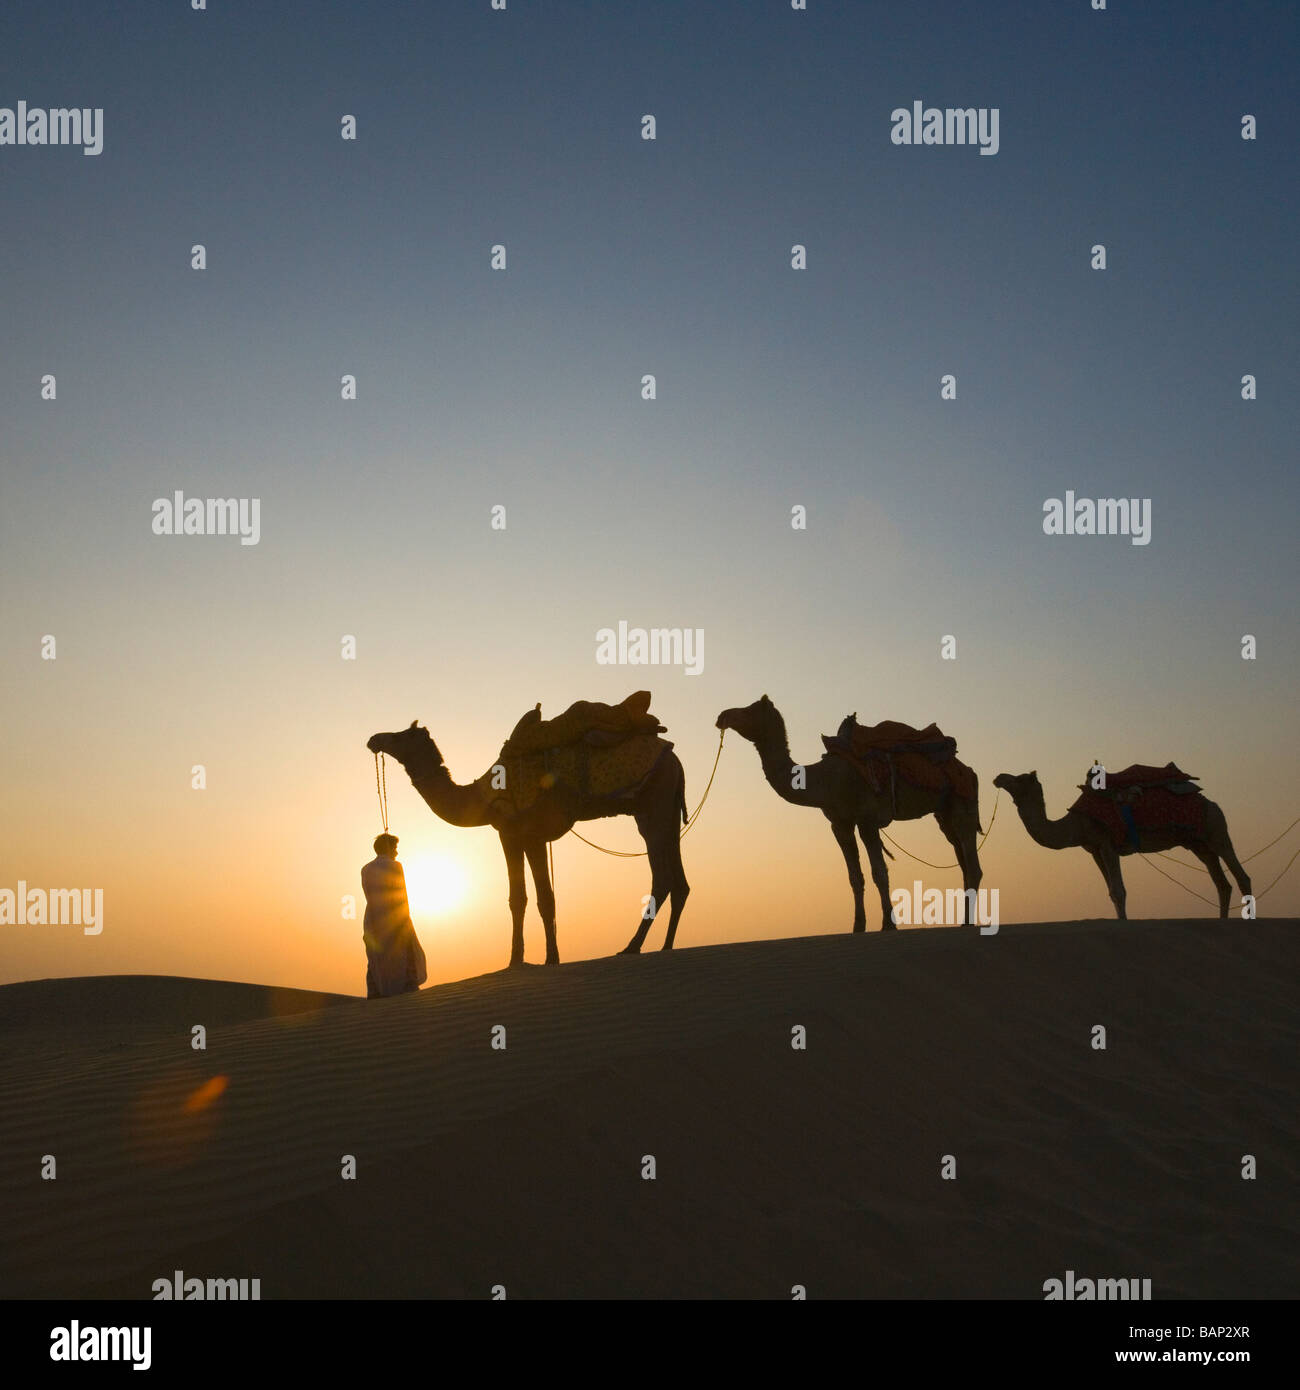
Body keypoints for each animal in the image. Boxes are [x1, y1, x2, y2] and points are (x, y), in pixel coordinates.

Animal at [366, 721, 689, 967]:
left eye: (401, 735)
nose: (374, 738)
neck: (482, 797)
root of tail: (675, 759)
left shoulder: (523, 834)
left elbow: (538, 898)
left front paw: (539, 959)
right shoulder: (517, 835)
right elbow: (523, 898)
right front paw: (526, 959)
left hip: (652, 805)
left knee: (662, 876)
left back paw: (632, 947)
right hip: (667, 805)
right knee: (680, 880)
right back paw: (666, 946)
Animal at [715, 696, 983, 931]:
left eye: (749, 710)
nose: (722, 716)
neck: (824, 779)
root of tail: (969, 771)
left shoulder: (867, 820)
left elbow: (879, 872)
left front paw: (888, 925)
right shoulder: (840, 824)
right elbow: (855, 877)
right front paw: (858, 926)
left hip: (963, 802)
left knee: (972, 862)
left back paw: (968, 922)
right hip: (944, 812)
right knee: (962, 859)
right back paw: (964, 920)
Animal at [991, 770, 1251, 919]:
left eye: (1020, 778)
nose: (999, 777)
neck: (1077, 823)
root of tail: (1211, 803)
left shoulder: (1108, 843)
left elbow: (1119, 890)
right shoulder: (1094, 850)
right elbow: (1111, 892)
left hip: (1217, 831)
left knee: (1241, 876)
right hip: (1198, 844)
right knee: (1222, 883)